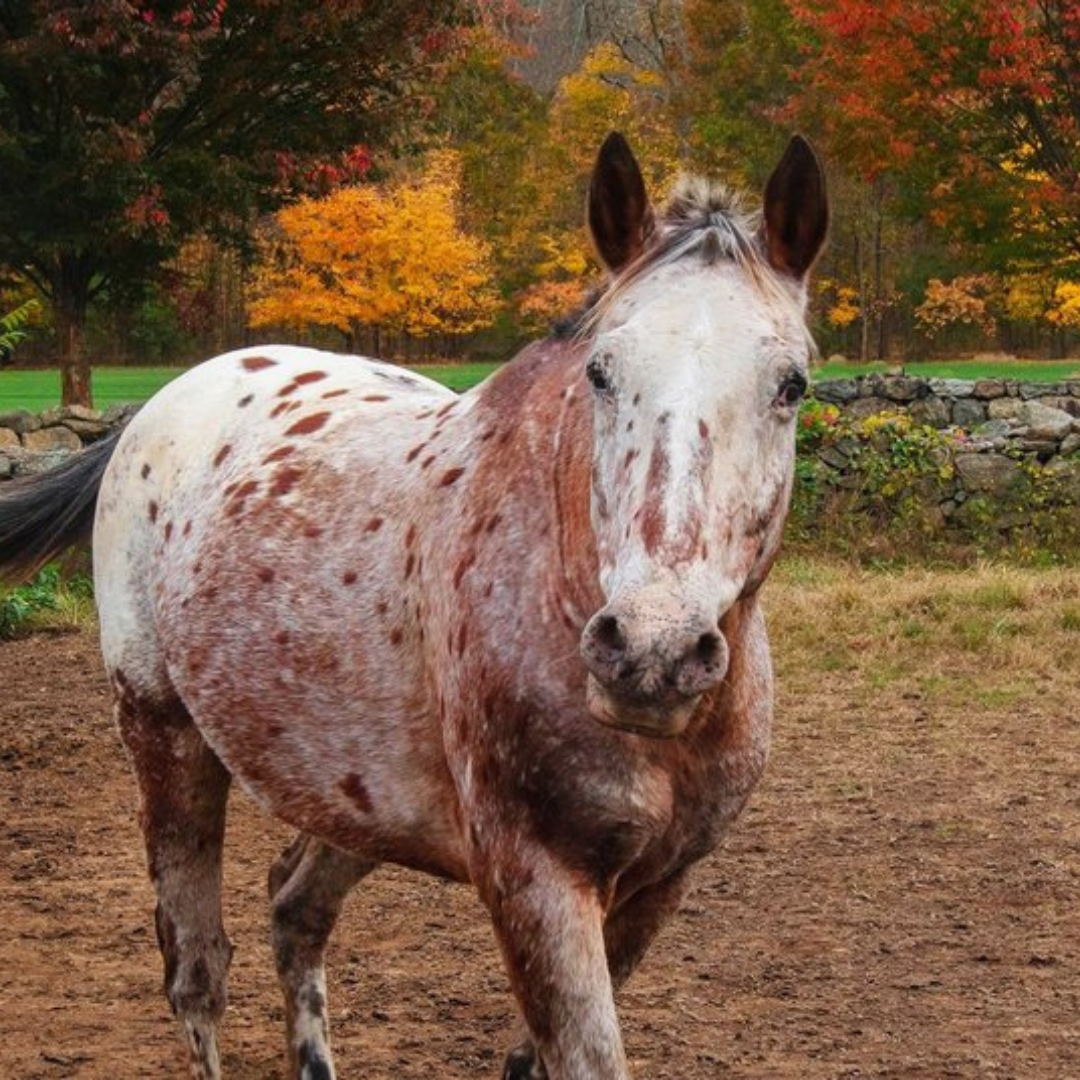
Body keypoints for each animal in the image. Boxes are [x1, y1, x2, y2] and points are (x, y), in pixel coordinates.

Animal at [0, 131, 826, 1080]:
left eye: (792, 384)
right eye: (600, 372)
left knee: (295, 907)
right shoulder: (536, 881)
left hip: (357, 798)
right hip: (165, 740)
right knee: (196, 974)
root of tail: (156, 411)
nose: (652, 656)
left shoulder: (655, 888)